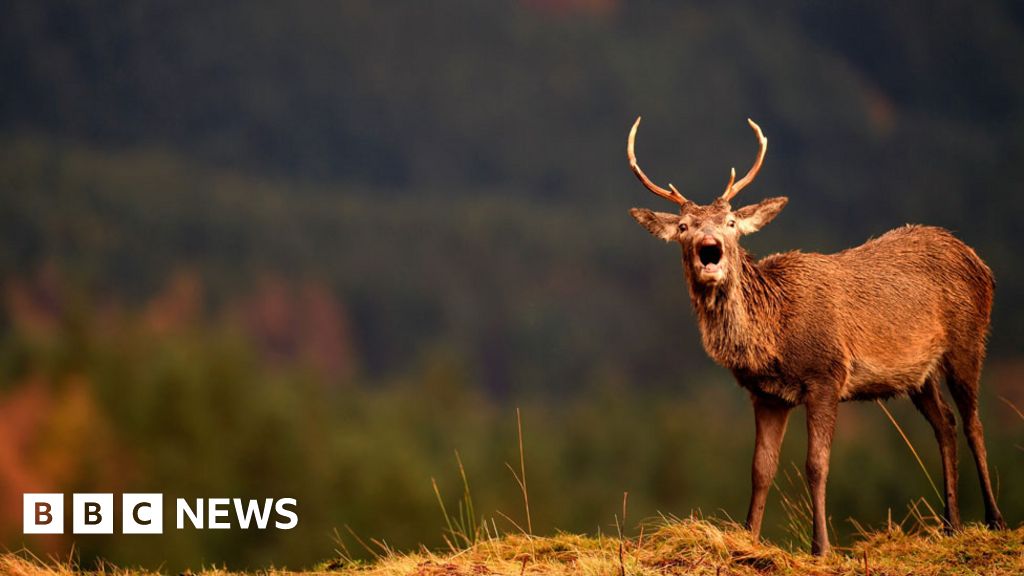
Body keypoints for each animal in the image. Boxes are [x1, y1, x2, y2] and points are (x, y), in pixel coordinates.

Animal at [626, 117, 1006, 555]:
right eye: (684, 227)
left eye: (732, 223)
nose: (710, 246)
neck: (773, 335)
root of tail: (980, 262)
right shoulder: (766, 395)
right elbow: (760, 469)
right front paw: (748, 538)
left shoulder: (827, 375)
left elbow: (816, 464)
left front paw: (820, 546)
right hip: (918, 372)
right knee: (945, 422)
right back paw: (950, 525)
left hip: (969, 337)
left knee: (974, 423)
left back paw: (994, 519)